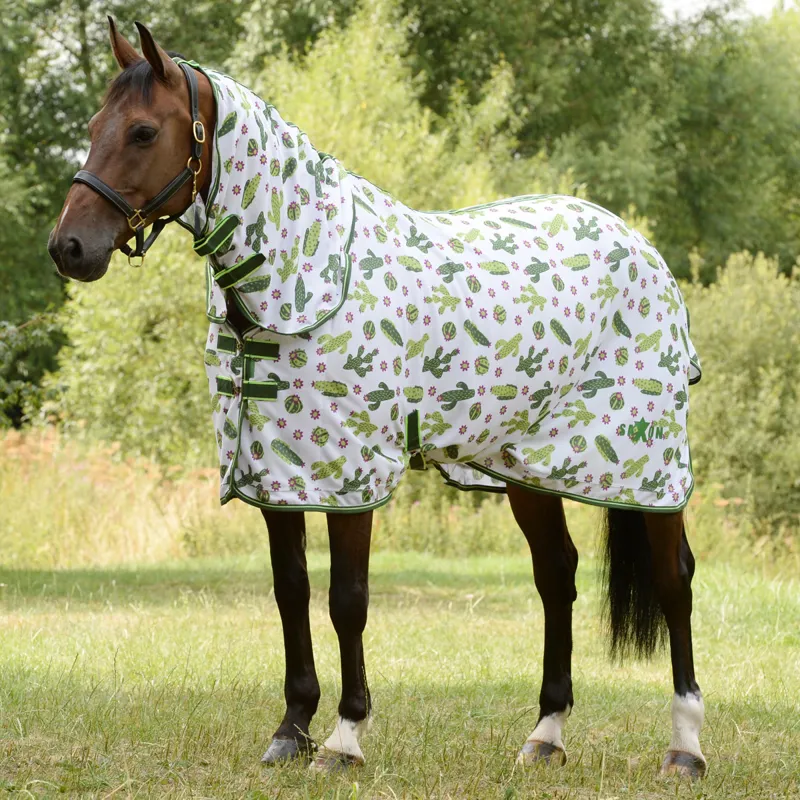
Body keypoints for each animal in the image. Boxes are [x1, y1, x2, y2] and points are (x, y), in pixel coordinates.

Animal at [48, 19, 707, 778]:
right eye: (93, 127)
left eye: (144, 132)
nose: (69, 247)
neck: (303, 278)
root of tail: (638, 243)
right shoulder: (276, 472)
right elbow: (291, 592)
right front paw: (291, 729)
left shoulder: (349, 475)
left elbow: (348, 600)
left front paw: (343, 737)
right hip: (527, 467)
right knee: (557, 576)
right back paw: (546, 734)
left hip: (648, 466)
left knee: (674, 580)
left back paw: (685, 748)